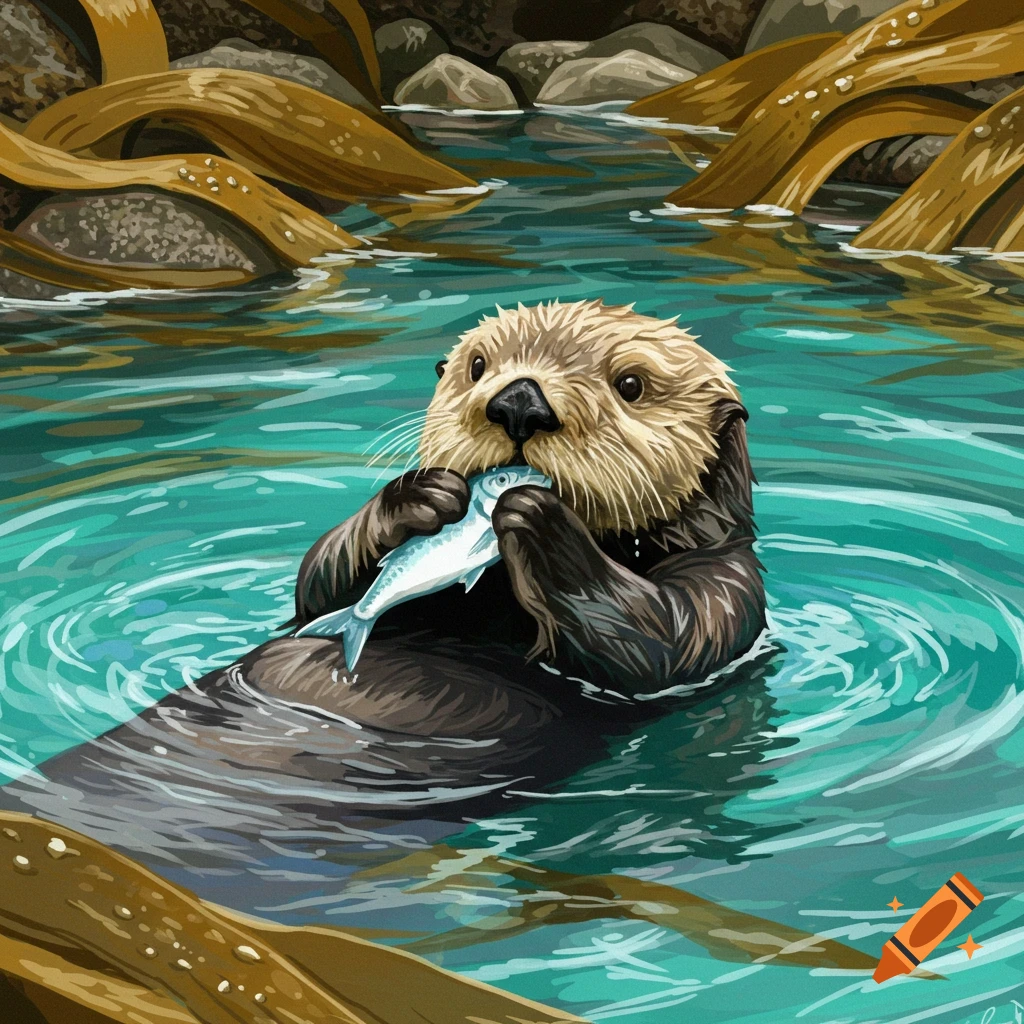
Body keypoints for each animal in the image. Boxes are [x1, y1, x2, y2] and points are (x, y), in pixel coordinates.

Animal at [10, 300, 766, 847]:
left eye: (631, 384)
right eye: (479, 365)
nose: (519, 403)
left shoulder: (729, 580)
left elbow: (665, 644)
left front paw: (539, 516)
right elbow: (311, 589)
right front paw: (415, 497)